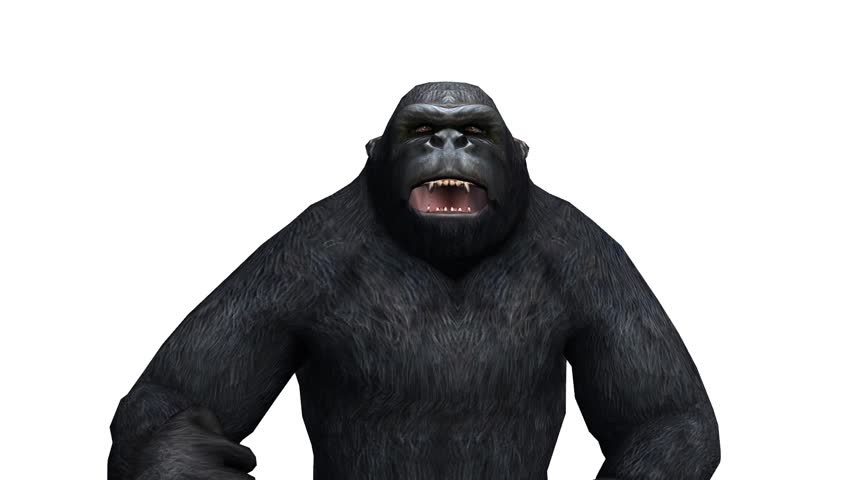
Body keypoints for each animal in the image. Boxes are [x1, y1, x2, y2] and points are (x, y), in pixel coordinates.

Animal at [108, 81, 720, 480]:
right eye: (421, 129)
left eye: (475, 130)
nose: (448, 142)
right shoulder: (296, 258)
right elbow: (175, 394)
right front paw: (189, 459)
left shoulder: (592, 257)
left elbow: (665, 417)